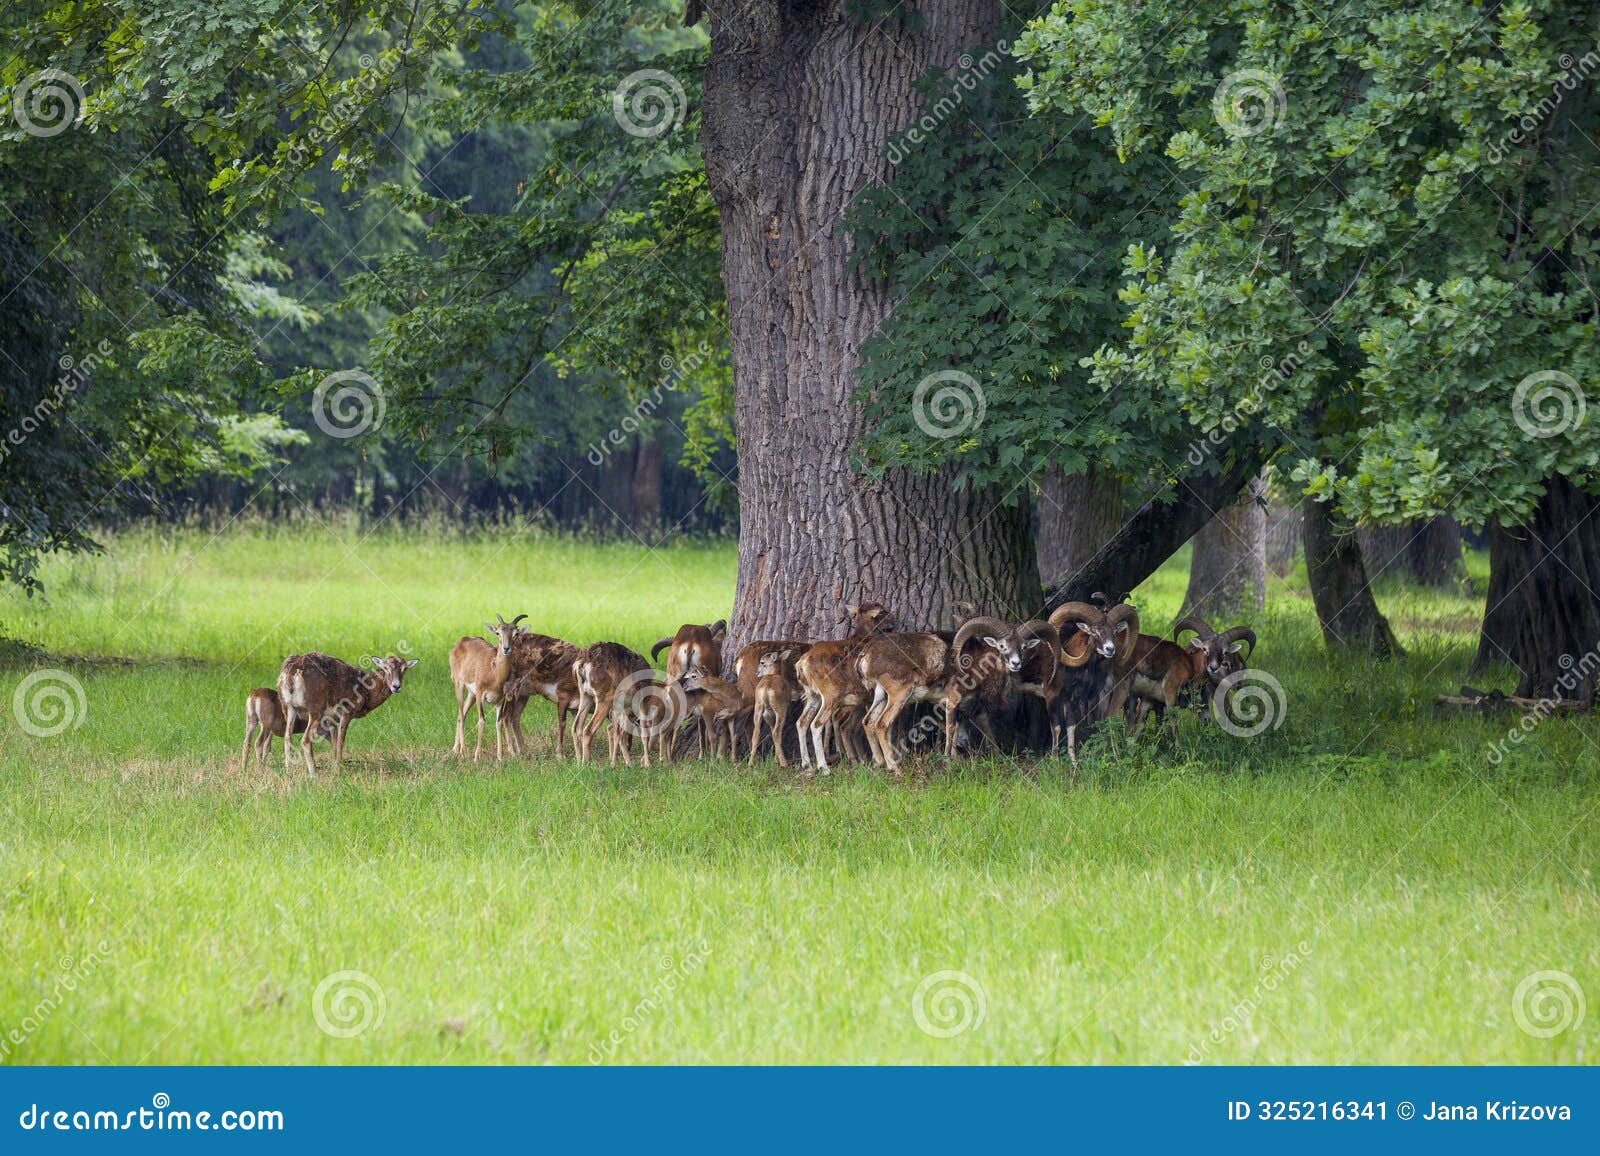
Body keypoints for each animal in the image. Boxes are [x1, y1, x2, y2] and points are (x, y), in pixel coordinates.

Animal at [278, 652, 418, 775]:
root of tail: (291, 672)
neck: (366, 693)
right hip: (315, 708)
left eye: (404, 669)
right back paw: (313, 773)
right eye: (385, 667)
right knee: (305, 739)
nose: (396, 686)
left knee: (287, 737)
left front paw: (335, 767)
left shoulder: (330, 719)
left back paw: (288, 771)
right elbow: (341, 741)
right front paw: (338, 770)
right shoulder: (346, 711)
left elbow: (334, 742)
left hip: (288, 707)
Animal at [448, 613, 529, 761]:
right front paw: (477, 757)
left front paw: (500, 757)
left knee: (461, 715)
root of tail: (462, 641)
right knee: (461, 714)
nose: (506, 649)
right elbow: (482, 721)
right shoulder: (480, 694)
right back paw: (463, 752)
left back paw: (455, 750)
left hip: (471, 695)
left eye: (515, 633)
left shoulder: (500, 699)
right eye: (498, 632)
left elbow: (498, 723)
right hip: (459, 686)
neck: (494, 672)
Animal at [793, 602, 894, 775]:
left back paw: (807, 765)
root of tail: (802, 665)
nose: (893, 621)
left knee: (801, 722)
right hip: (830, 695)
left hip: (812, 695)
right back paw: (824, 768)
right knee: (816, 724)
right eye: (882, 612)